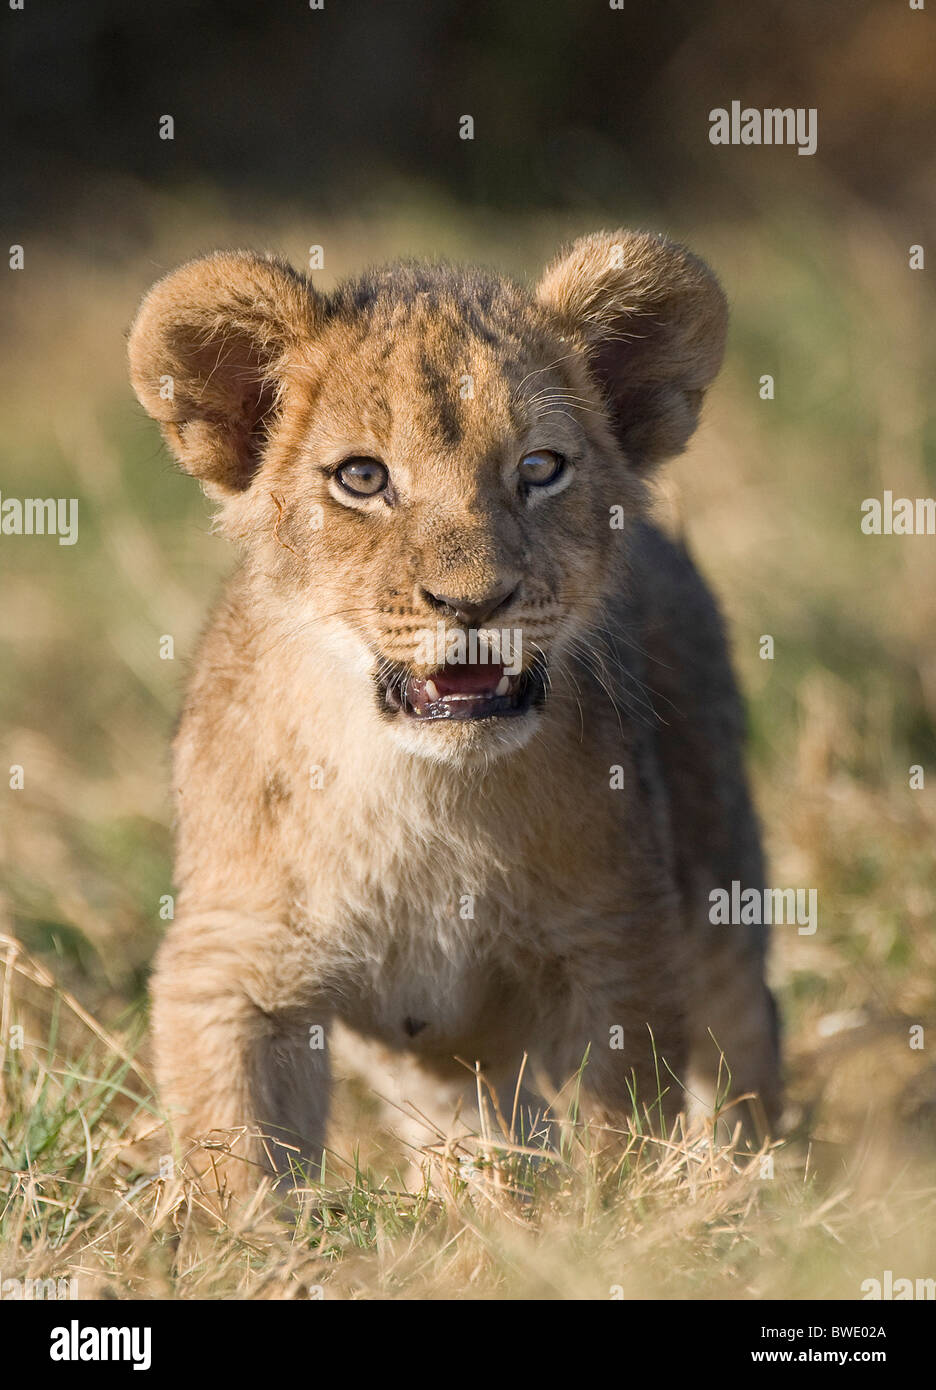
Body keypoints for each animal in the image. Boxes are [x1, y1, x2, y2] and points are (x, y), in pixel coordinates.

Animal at [128, 230, 780, 1196]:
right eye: (362, 478)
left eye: (539, 469)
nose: (474, 602)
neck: (424, 799)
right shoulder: (232, 960)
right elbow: (235, 1151)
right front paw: (252, 1235)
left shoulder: (616, 944)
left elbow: (619, 1121)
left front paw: (618, 1215)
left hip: (718, 875)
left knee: (745, 1037)